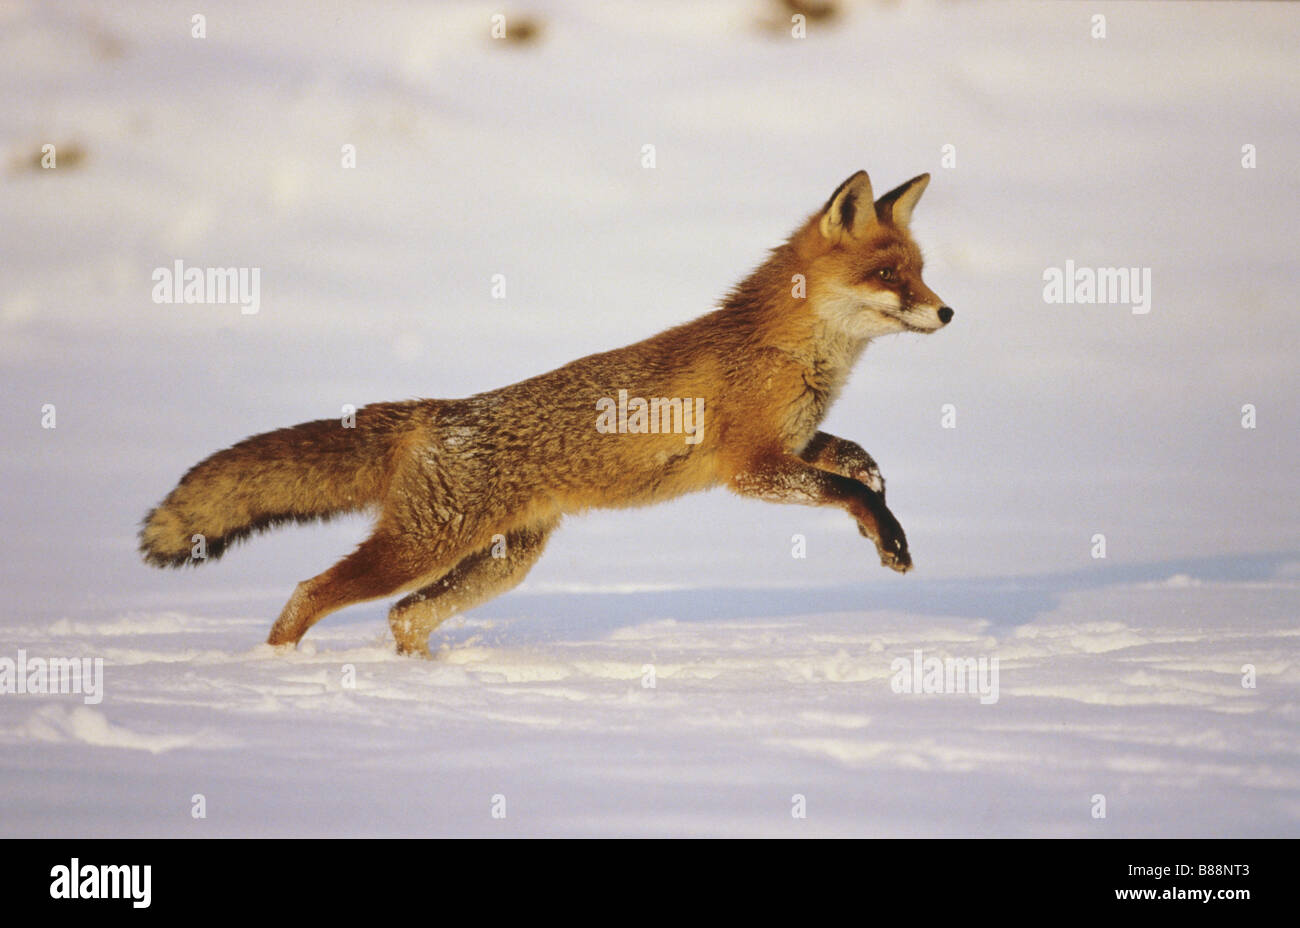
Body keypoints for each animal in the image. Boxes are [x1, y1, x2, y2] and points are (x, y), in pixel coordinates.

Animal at [139, 169, 953, 656]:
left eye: (919, 272)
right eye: (888, 274)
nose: (948, 312)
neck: (786, 351)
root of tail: (433, 412)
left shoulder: (794, 443)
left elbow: (858, 465)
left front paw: (884, 521)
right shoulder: (749, 468)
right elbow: (842, 487)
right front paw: (886, 534)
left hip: (504, 561)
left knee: (404, 615)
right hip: (421, 548)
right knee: (312, 592)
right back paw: (274, 675)